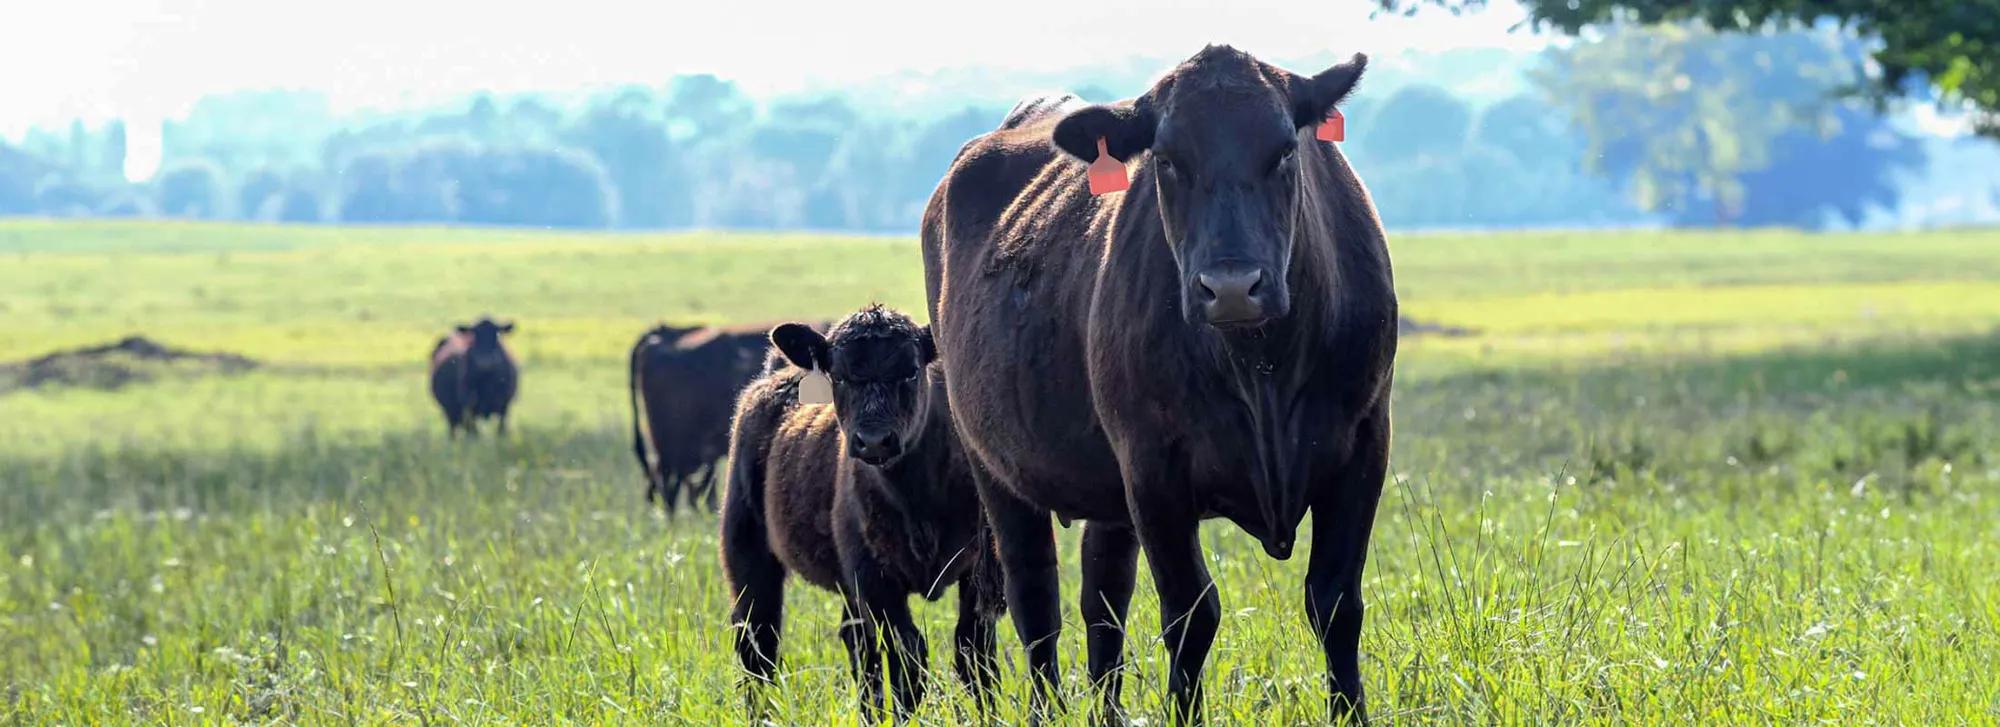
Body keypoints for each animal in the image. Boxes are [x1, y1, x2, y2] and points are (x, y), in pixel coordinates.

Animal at [720, 305, 1003, 722]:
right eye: (838, 375)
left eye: (910, 371)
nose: (873, 441)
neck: (917, 498)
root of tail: (775, 374)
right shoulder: (873, 577)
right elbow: (907, 653)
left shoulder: (981, 568)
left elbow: (973, 650)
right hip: (746, 549)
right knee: (758, 642)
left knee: (855, 642)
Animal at [920, 46, 1396, 725]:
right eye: (1167, 159)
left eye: (1284, 149)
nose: (1231, 286)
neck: (1260, 366)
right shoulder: (1153, 467)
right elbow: (1190, 614)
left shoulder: (1364, 445)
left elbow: (1335, 603)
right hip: (994, 465)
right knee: (1035, 598)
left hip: (1104, 488)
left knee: (1102, 597)